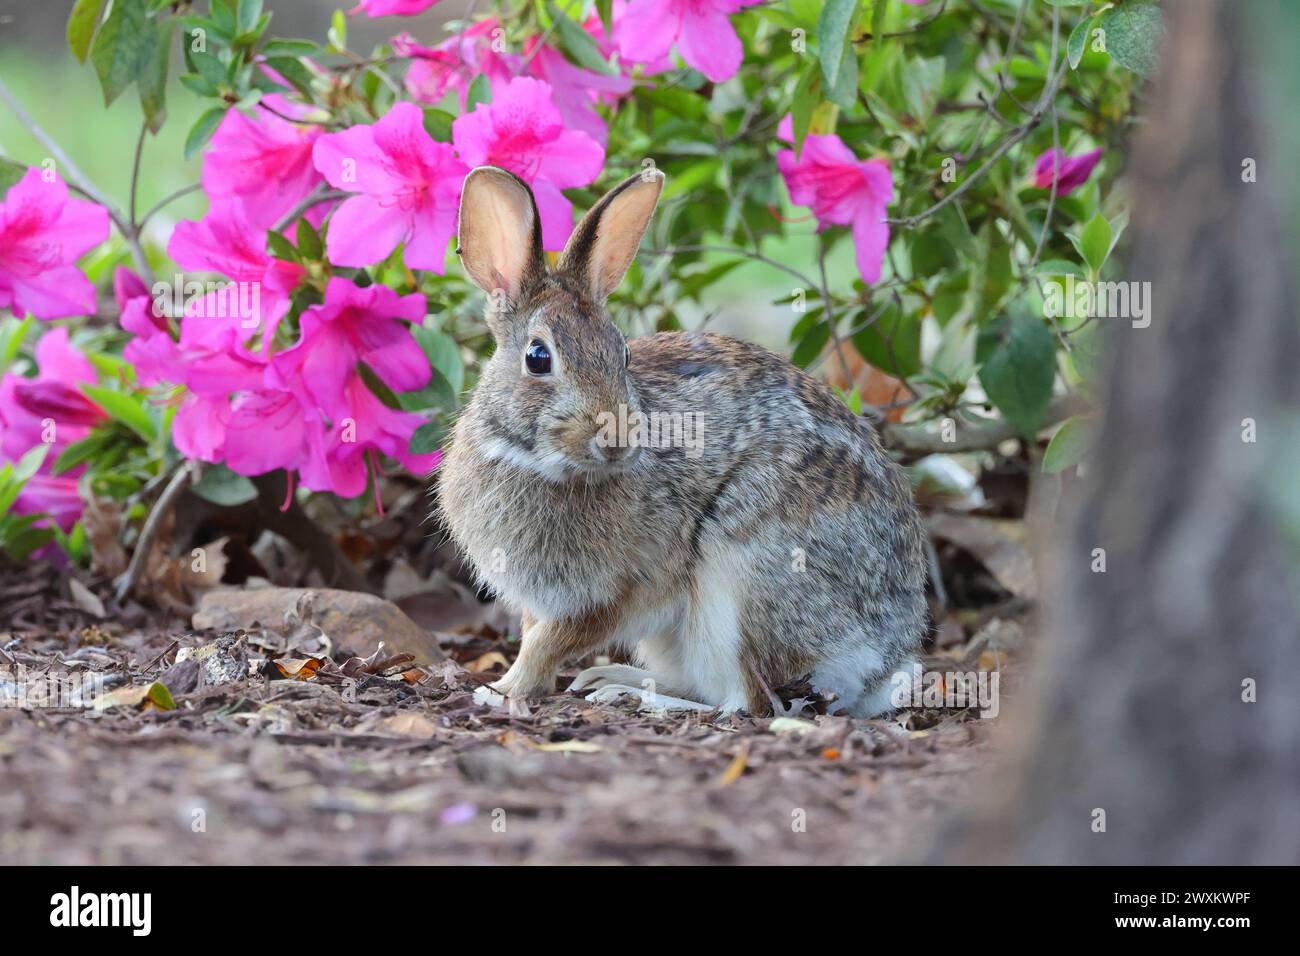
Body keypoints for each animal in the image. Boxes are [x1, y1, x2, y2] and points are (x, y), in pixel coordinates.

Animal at [436, 165, 928, 716]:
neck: (533, 461)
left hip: (743, 585)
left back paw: (629, 693)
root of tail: (881, 664)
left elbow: (550, 642)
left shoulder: (619, 589)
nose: (617, 439)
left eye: (623, 354)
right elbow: (534, 634)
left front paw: (502, 690)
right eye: (538, 358)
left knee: (746, 702)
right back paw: (614, 675)